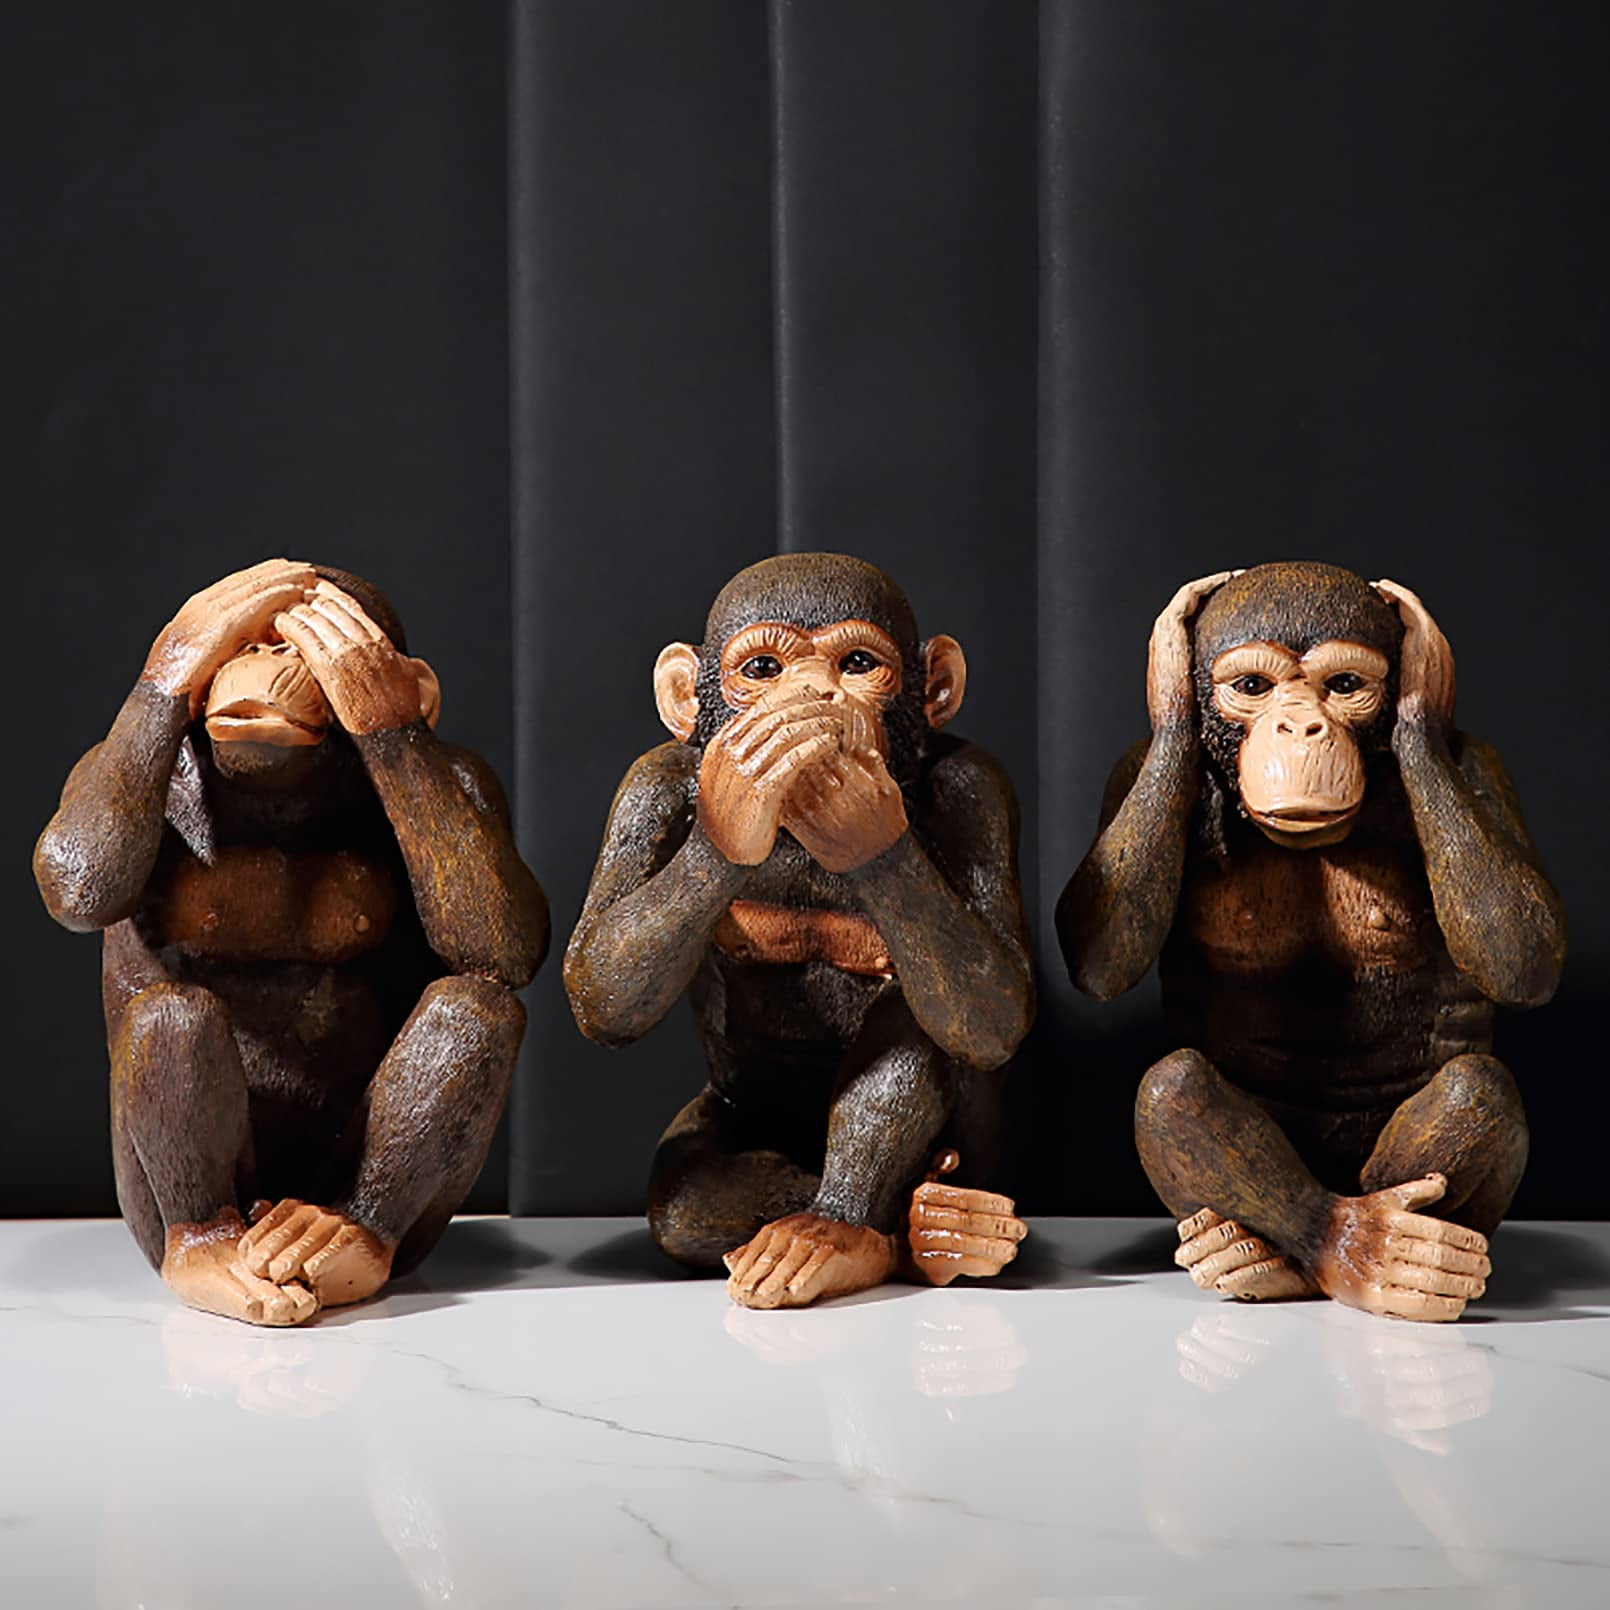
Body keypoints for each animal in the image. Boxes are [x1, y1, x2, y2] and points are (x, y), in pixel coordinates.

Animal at [35, 559, 549, 1325]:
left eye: (292, 644)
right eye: (249, 641)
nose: (262, 655)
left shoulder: (467, 775)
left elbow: (506, 933)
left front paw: (366, 680)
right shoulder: (97, 765)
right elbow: (76, 869)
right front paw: (191, 637)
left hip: (380, 1215)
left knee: (477, 1004)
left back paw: (341, 1235)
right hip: (147, 1218)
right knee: (170, 1014)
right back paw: (208, 1246)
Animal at [564, 553, 1033, 1309]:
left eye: (858, 663)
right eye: (763, 670)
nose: (817, 694)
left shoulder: (979, 787)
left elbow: (998, 1006)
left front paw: (860, 818)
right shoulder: (647, 786)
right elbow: (599, 980)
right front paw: (735, 806)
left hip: (983, 1152)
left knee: (927, 1014)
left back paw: (860, 1231)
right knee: (686, 1204)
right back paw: (914, 1230)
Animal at [1058, 562, 1565, 1322]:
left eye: (1345, 685)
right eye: (1253, 688)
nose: (1301, 723)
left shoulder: (1480, 769)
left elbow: (1526, 946)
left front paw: (1425, 685)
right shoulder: (1131, 770)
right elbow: (1097, 947)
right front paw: (1168, 675)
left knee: (1477, 1089)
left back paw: (1383, 1257)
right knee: (1171, 1086)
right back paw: (1292, 1251)